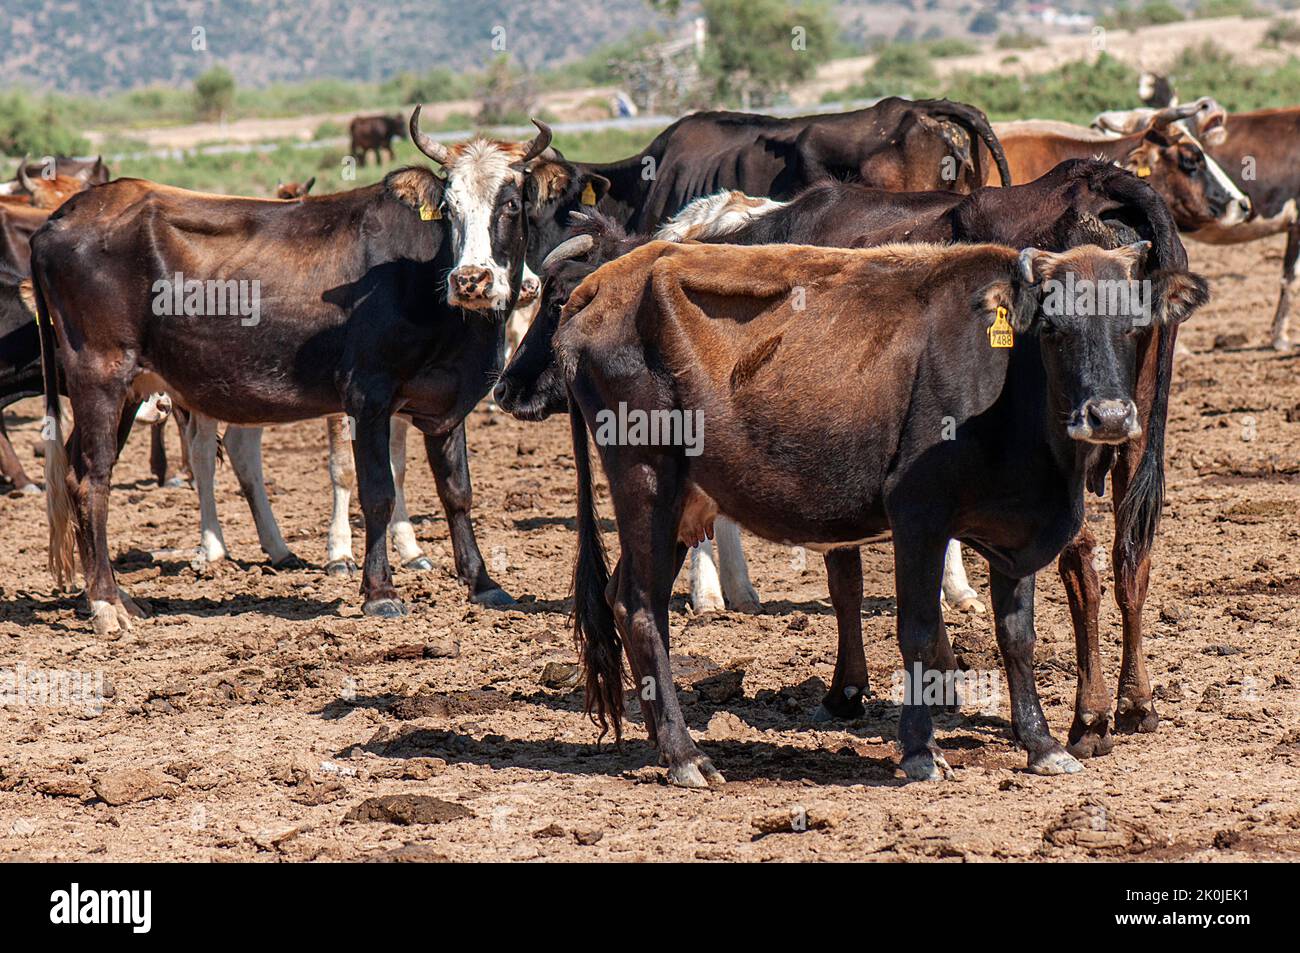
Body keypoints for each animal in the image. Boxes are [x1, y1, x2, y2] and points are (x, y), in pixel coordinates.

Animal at [31, 108, 550, 635]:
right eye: (449, 208)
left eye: (510, 203)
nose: (470, 280)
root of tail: (61, 218)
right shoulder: (367, 398)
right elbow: (377, 492)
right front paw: (380, 592)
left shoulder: (444, 404)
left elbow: (457, 493)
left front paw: (483, 584)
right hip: (100, 376)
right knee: (92, 480)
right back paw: (104, 604)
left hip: (128, 389)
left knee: (77, 472)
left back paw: (118, 597)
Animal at [499, 158, 1199, 746]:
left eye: (557, 299)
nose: (508, 388)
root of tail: (1097, 180)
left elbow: (846, 578)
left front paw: (856, 688)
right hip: (1131, 432)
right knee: (1130, 555)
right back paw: (1134, 701)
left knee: (1085, 560)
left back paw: (1091, 711)